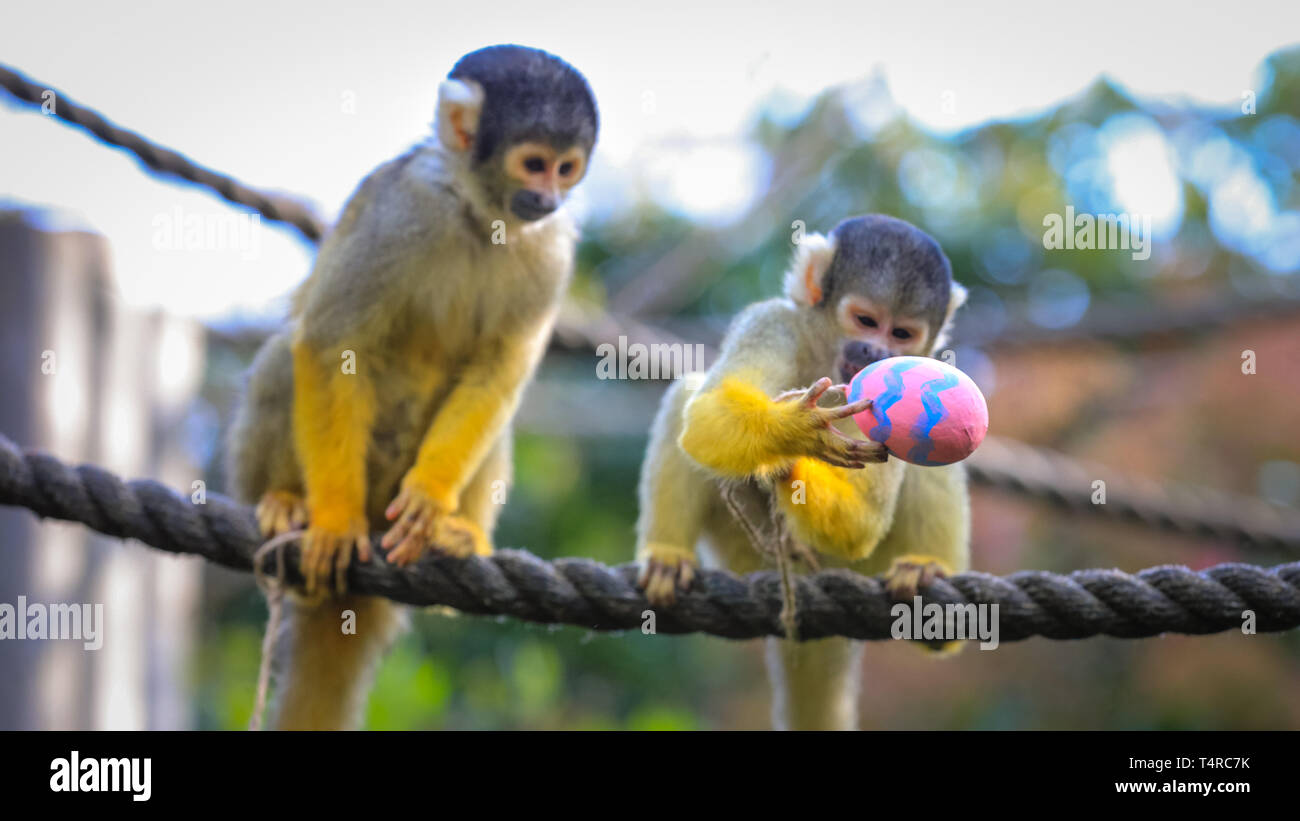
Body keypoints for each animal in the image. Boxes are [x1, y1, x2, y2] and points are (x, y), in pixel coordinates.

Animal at [226, 44, 598, 730]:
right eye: (534, 164)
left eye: (567, 169)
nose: (549, 198)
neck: (480, 215)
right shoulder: (402, 210)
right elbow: (331, 342)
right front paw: (334, 521)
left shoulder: (554, 248)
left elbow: (500, 368)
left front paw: (430, 498)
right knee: (282, 358)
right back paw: (286, 501)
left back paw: (457, 534)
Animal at [634, 214, 970, 731]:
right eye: (866, 321)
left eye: (902, 334)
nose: (875, 351)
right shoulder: (775, 319)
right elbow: (709, 416)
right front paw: (793, 433)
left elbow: (863, 524)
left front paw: (794, 457)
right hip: (750, 559)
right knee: (686, 397)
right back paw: (668, 557)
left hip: (854, 567)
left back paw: (928, 579)